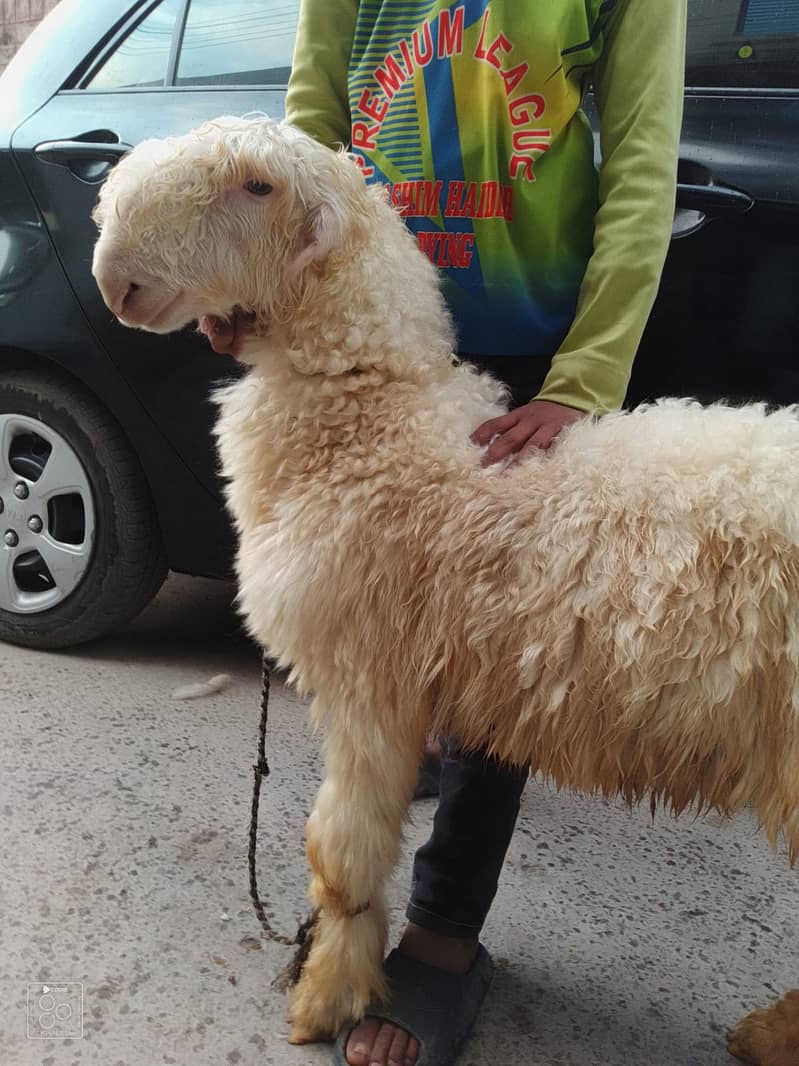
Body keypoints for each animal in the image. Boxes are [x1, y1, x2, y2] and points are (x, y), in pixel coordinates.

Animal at [91, 115, 798, 1065]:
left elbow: (339, 856)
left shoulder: (366, 684)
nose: (114, 277)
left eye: (257, 187)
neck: (379, 426)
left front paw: (327, 998)